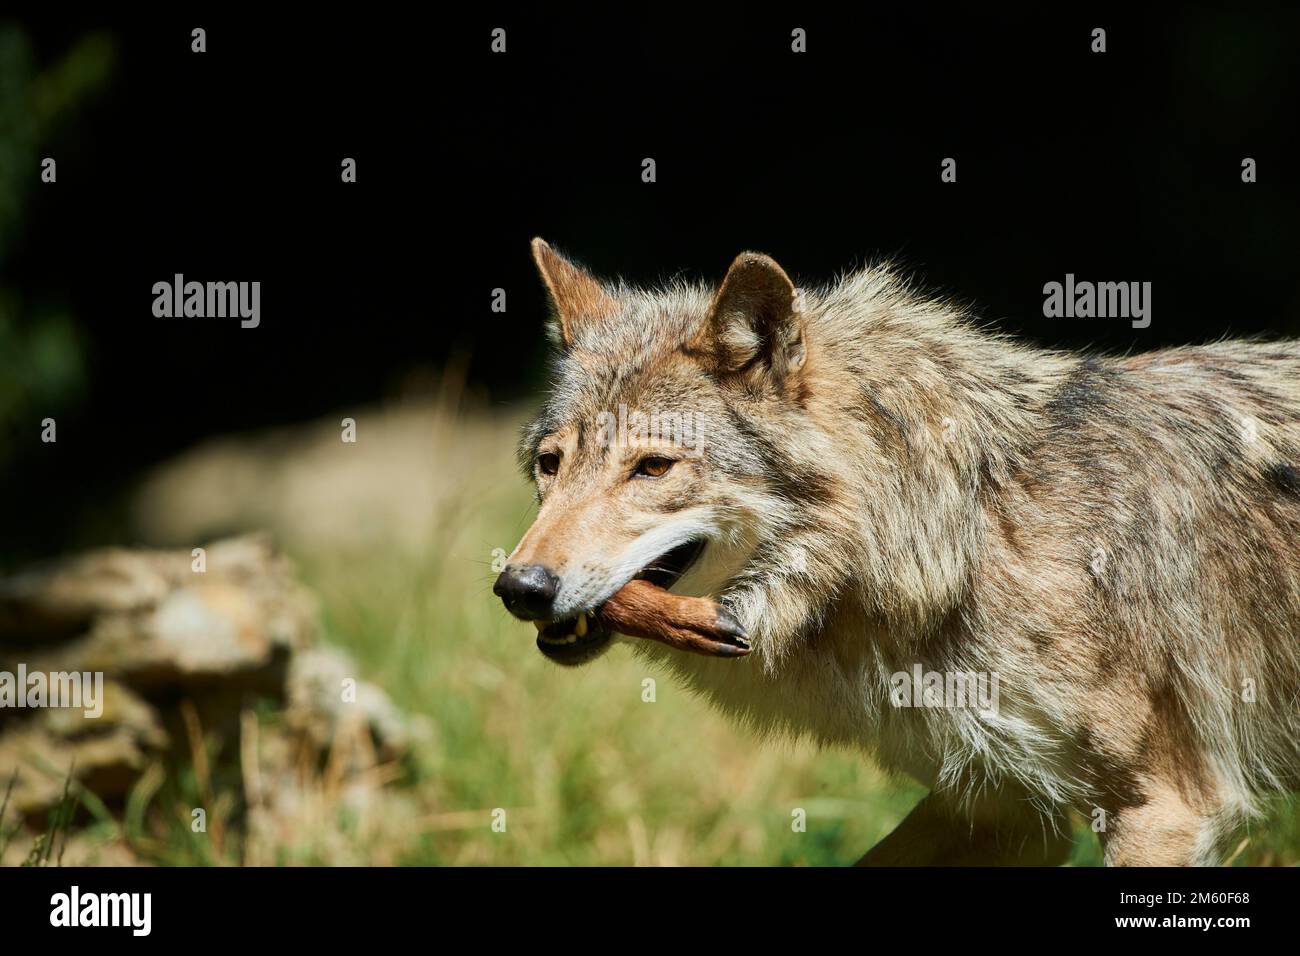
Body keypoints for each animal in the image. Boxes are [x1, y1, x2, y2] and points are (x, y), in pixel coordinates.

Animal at [494, 238, 1300, 866]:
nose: (520, 587)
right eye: (551, 464)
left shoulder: (1166, 806)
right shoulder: (997, 809)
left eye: (653, 468)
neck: (972, 533)